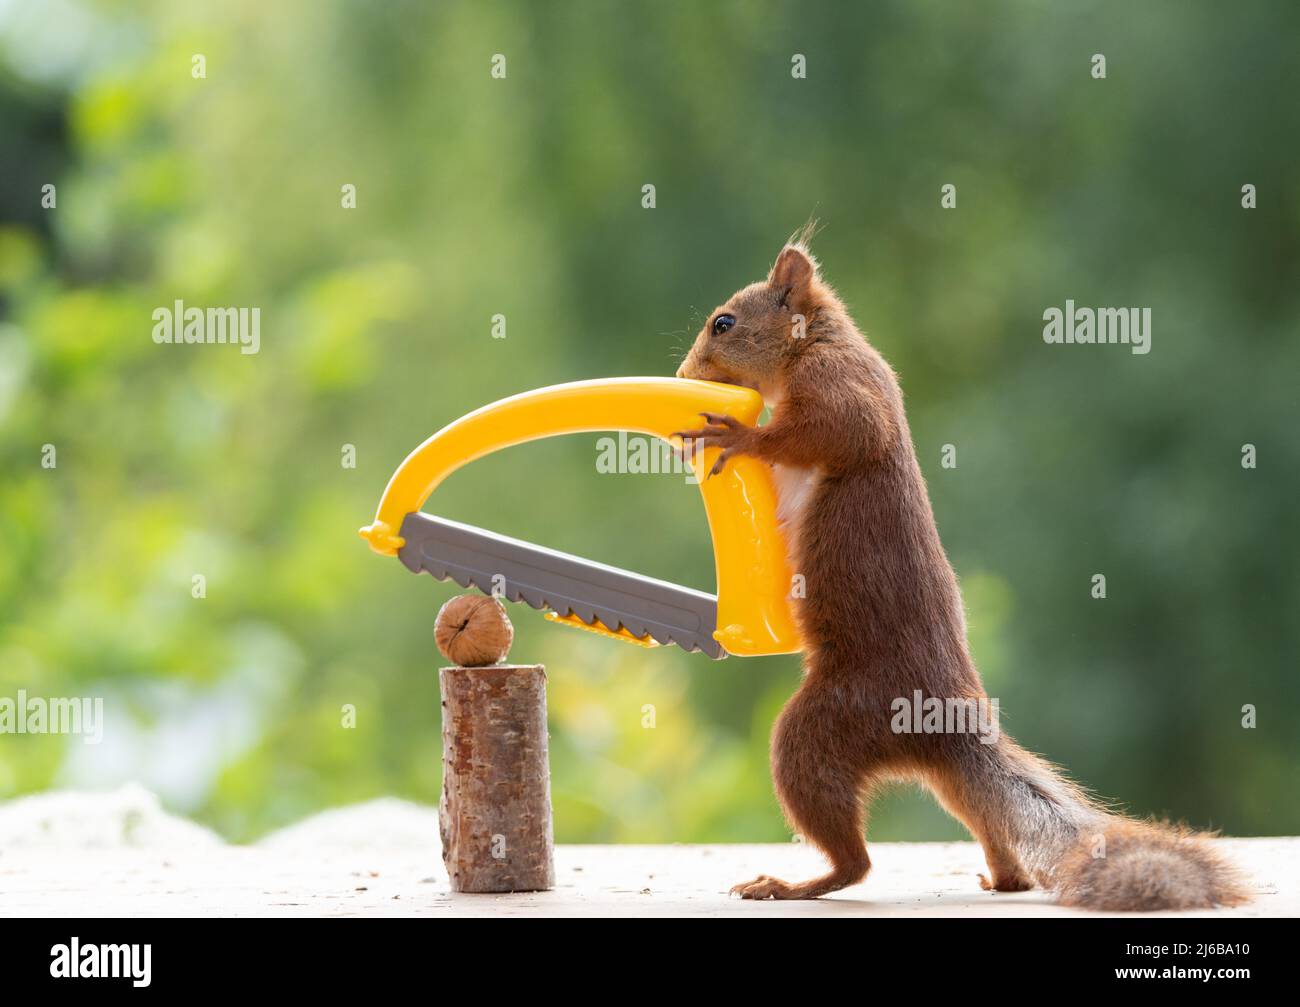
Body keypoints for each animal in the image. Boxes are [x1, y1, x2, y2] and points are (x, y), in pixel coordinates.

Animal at [673, 227, 1249, 910]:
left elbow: (838, 432)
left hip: (821, 730)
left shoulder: (842, 385)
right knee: (984, 822)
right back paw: (1002, 877)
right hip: (944, 781)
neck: (818, 341)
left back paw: (793, 884)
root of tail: (951, 719)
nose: (684, 374)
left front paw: (739, 436)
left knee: (855, 861)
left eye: (724, 323)